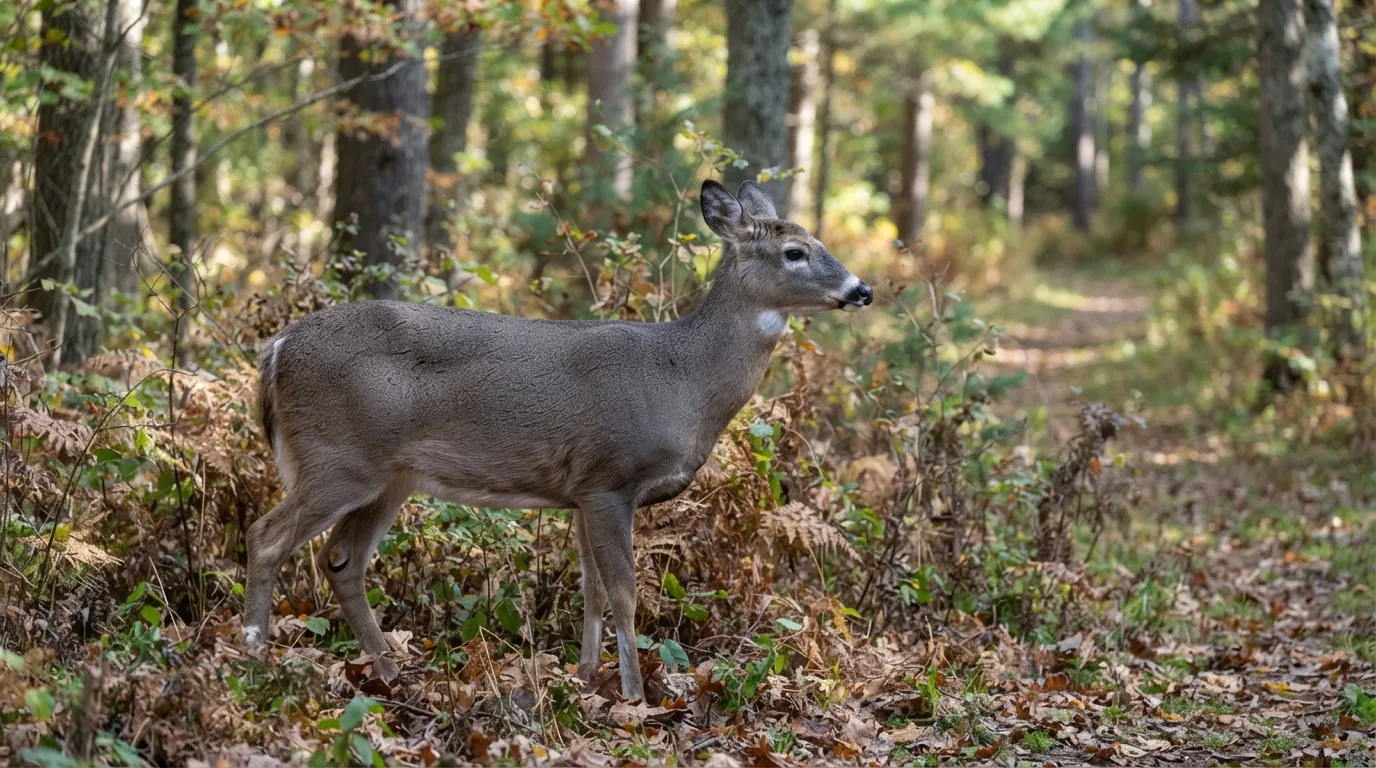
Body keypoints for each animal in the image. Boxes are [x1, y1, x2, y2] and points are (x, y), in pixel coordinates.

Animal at [244, 179, 872, 701]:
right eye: (794, 252)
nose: (862, 288)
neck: (684, 382)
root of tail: (276, 349)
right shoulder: (611, 478)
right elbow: (623, 591)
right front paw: (635, 696)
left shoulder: (580, 492)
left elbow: (590, 590)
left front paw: (588, 679)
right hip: (338, 458)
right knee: (266, 538)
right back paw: (254, 658)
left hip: (389, 478)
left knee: (342, 561)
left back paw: (392, 675)